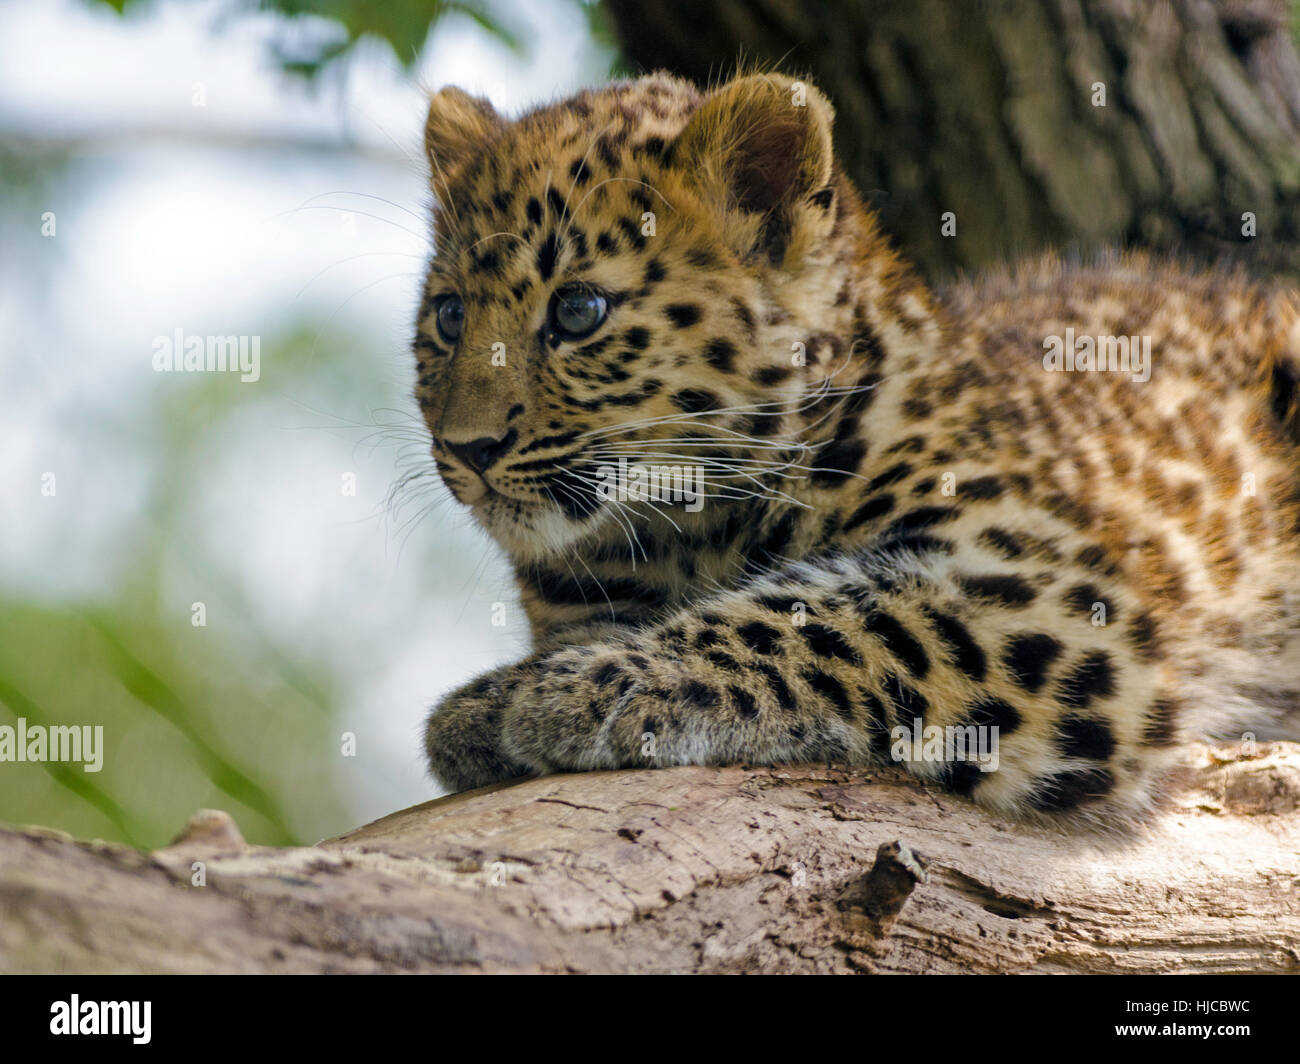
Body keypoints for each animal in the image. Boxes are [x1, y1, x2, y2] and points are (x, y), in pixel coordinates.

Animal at [411, 71, 1300, 826]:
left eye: (579, 310)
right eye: (450, 318)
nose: (469, 448)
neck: (679, 533)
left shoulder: (1049, 592)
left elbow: (812, 617)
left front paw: (563, 691)